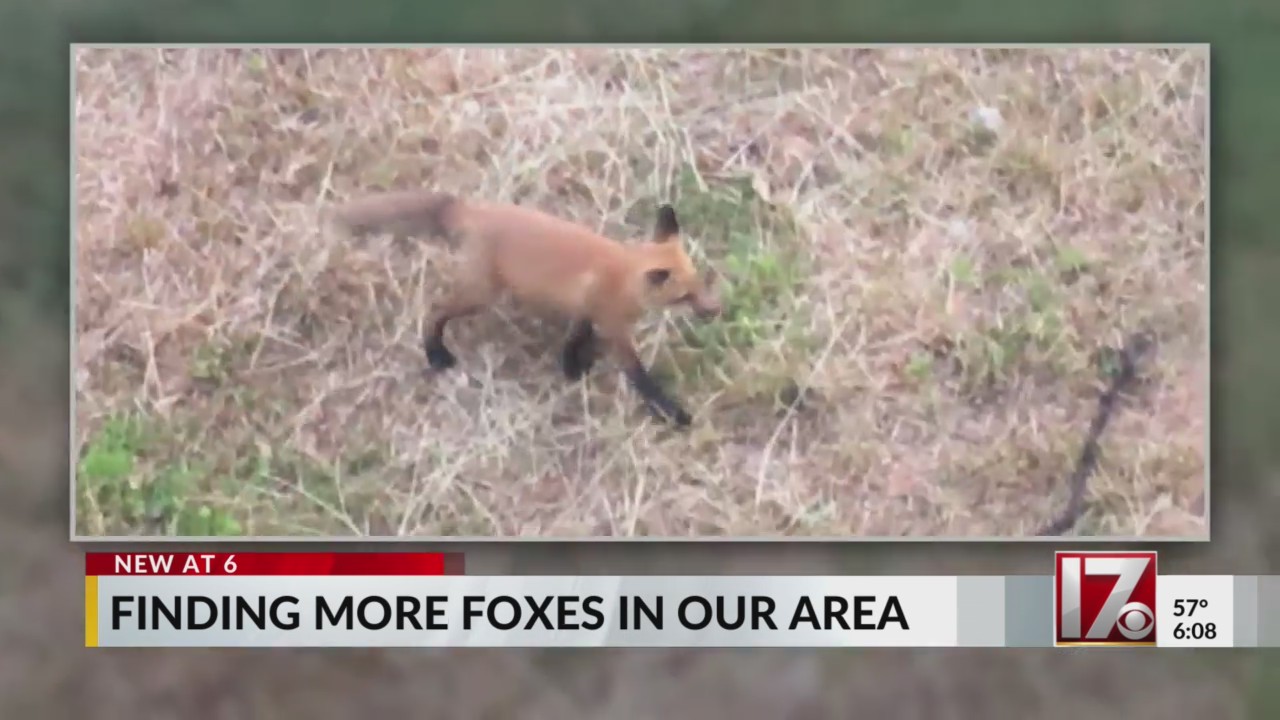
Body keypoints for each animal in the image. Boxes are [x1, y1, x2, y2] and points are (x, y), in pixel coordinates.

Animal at [329, 190, 723, 427]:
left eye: (700, 285)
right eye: (685, 296)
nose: (715, 310)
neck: (622, 278)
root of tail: (470, 206)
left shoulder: (586, 309)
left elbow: (574, 339)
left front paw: (571, 369)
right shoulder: (615, 330)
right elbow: (642, 379)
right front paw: (674, 414)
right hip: (481, 294)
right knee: (434, 308)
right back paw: (436, 353)